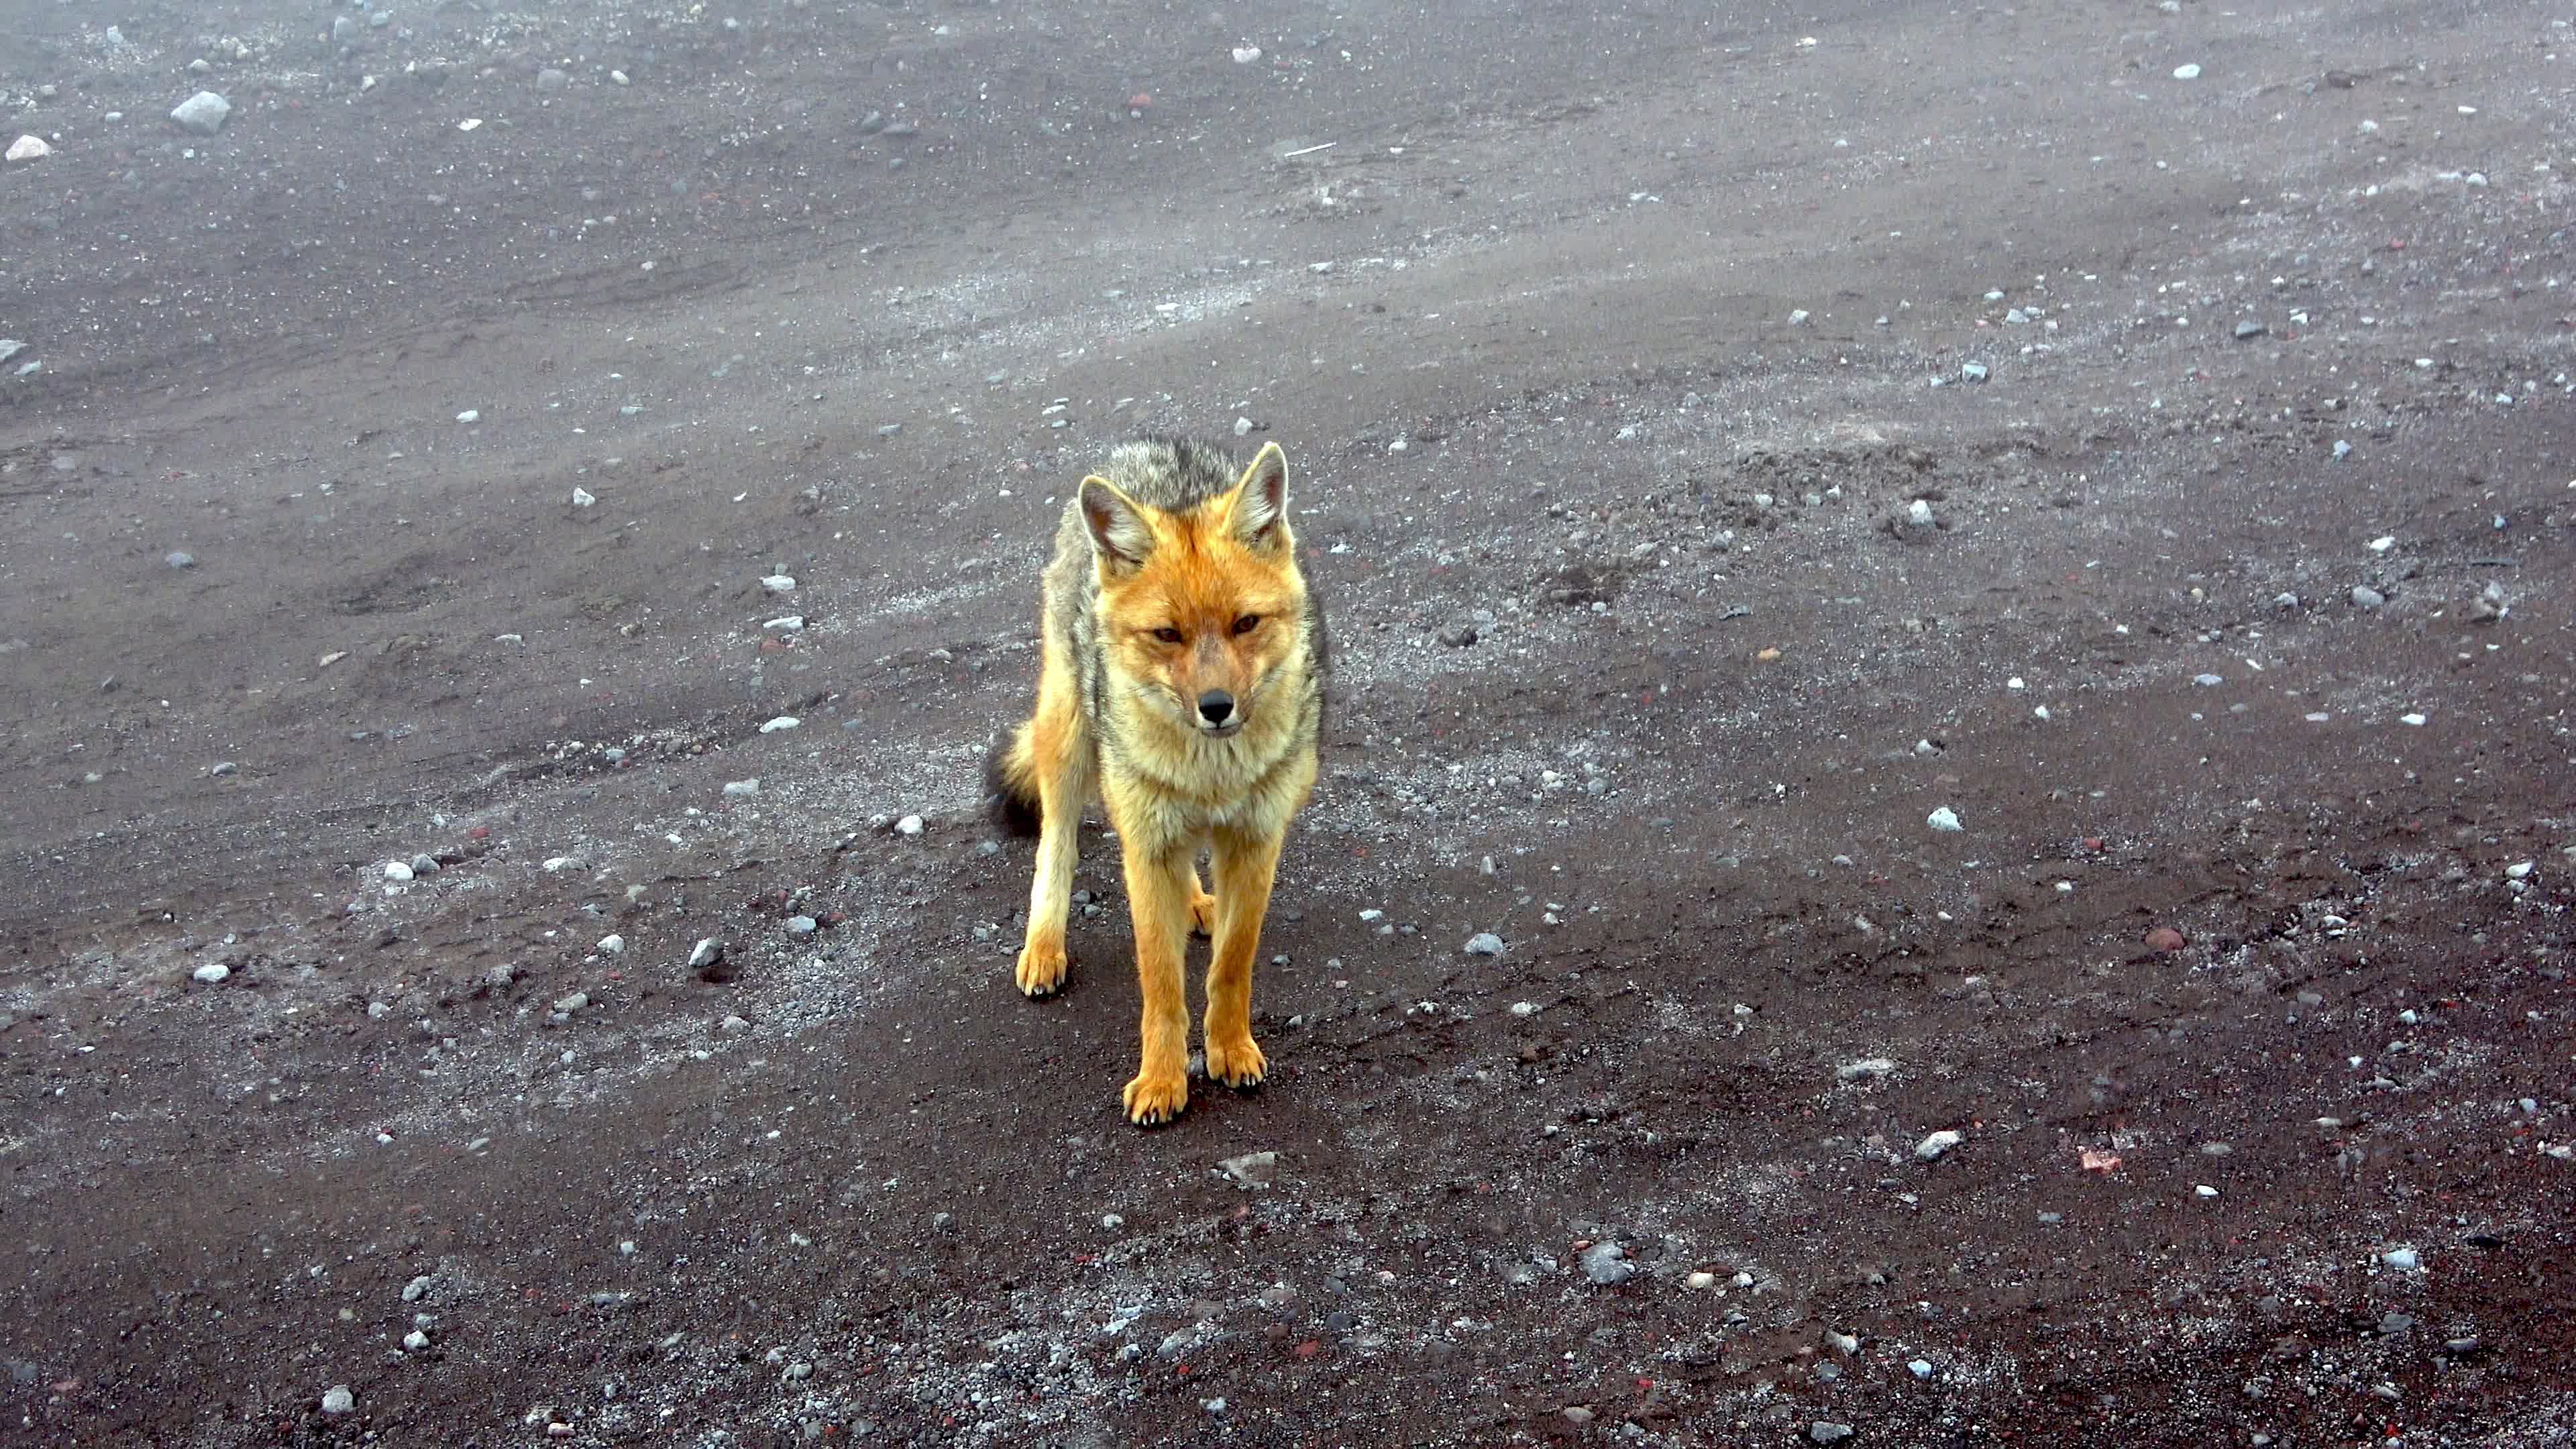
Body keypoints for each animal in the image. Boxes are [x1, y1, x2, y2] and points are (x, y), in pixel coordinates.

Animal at [984, 437, 1328, 1126]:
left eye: (1245, 623)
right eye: (1168, 634)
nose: (1217, 707)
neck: (1212, 776)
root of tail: (1148, 445)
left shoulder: (1257, 839)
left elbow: (1231, 964)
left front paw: (1230, 1048)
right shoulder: (1146, 845)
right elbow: (1162, 983)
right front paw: (1163, 1080)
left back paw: (1195, 900)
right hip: (1069, 743)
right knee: (1056, 844)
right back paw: (1044, 946)